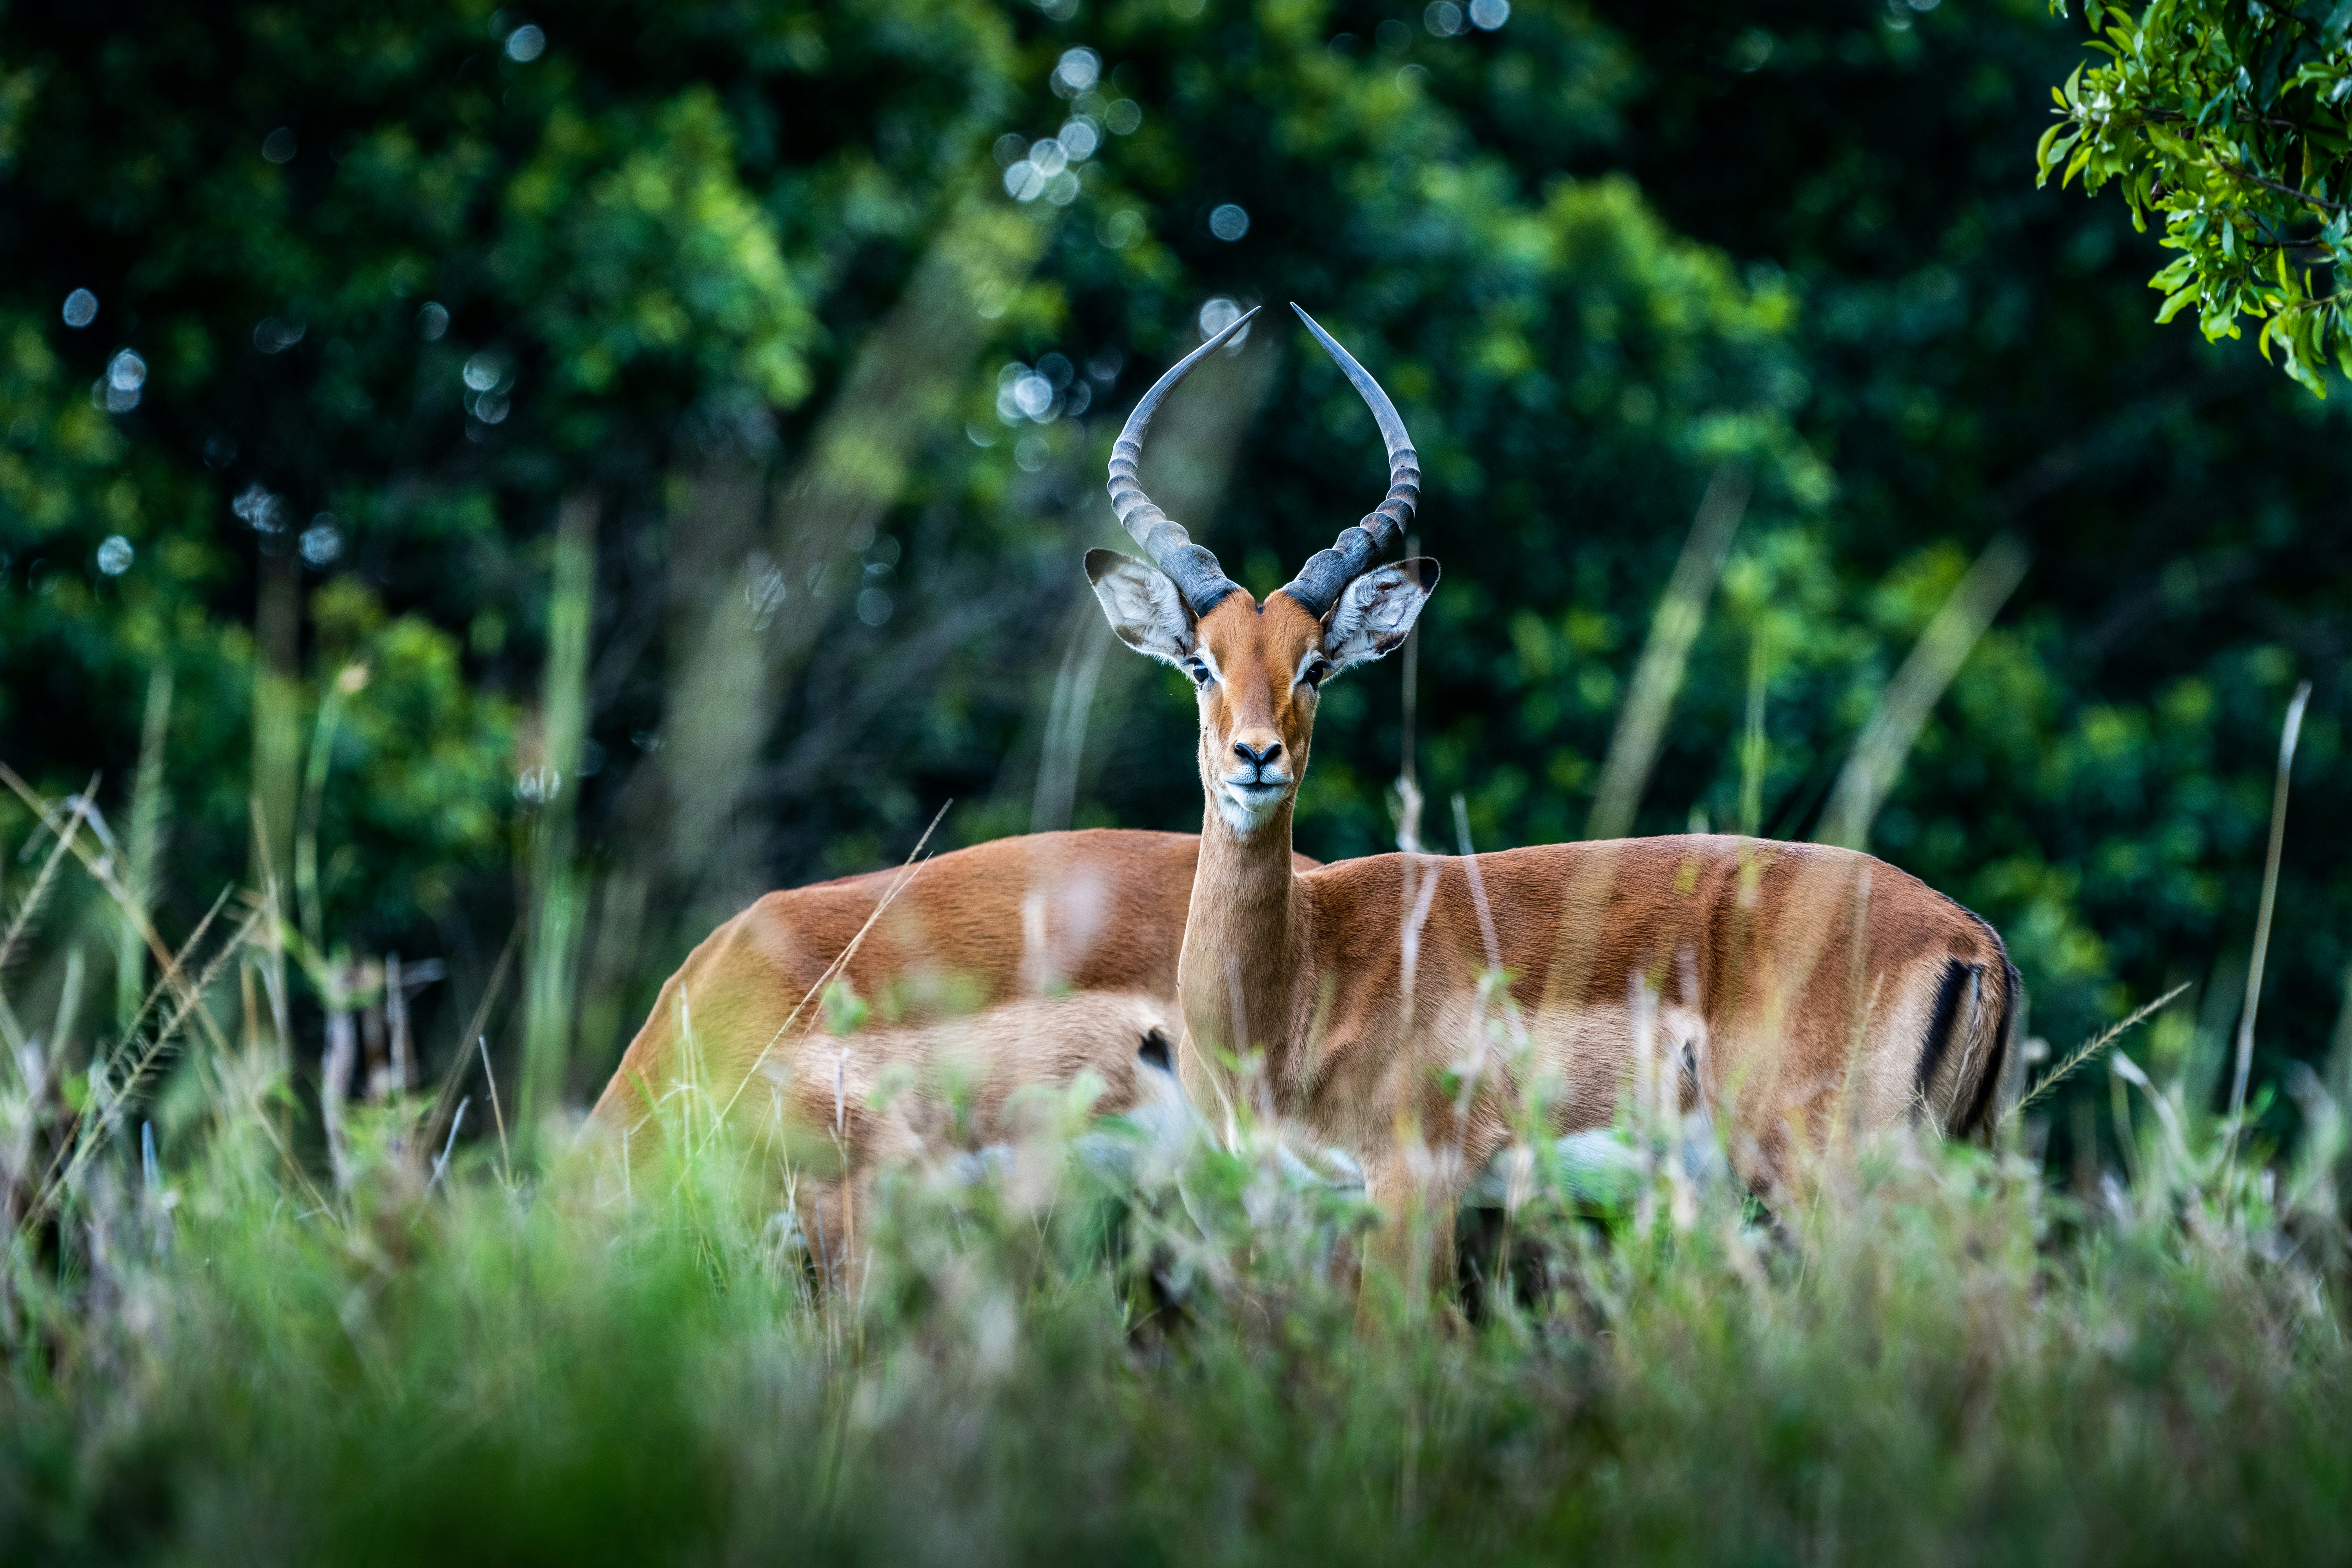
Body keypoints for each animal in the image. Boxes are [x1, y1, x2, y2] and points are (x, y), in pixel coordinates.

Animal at [1086, 303, 2020, 1281]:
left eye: (1314, 666)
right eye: (1201, 663)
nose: (1257, 756)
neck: (1300, 979)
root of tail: (1973, 938)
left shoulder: (1417, 1181)